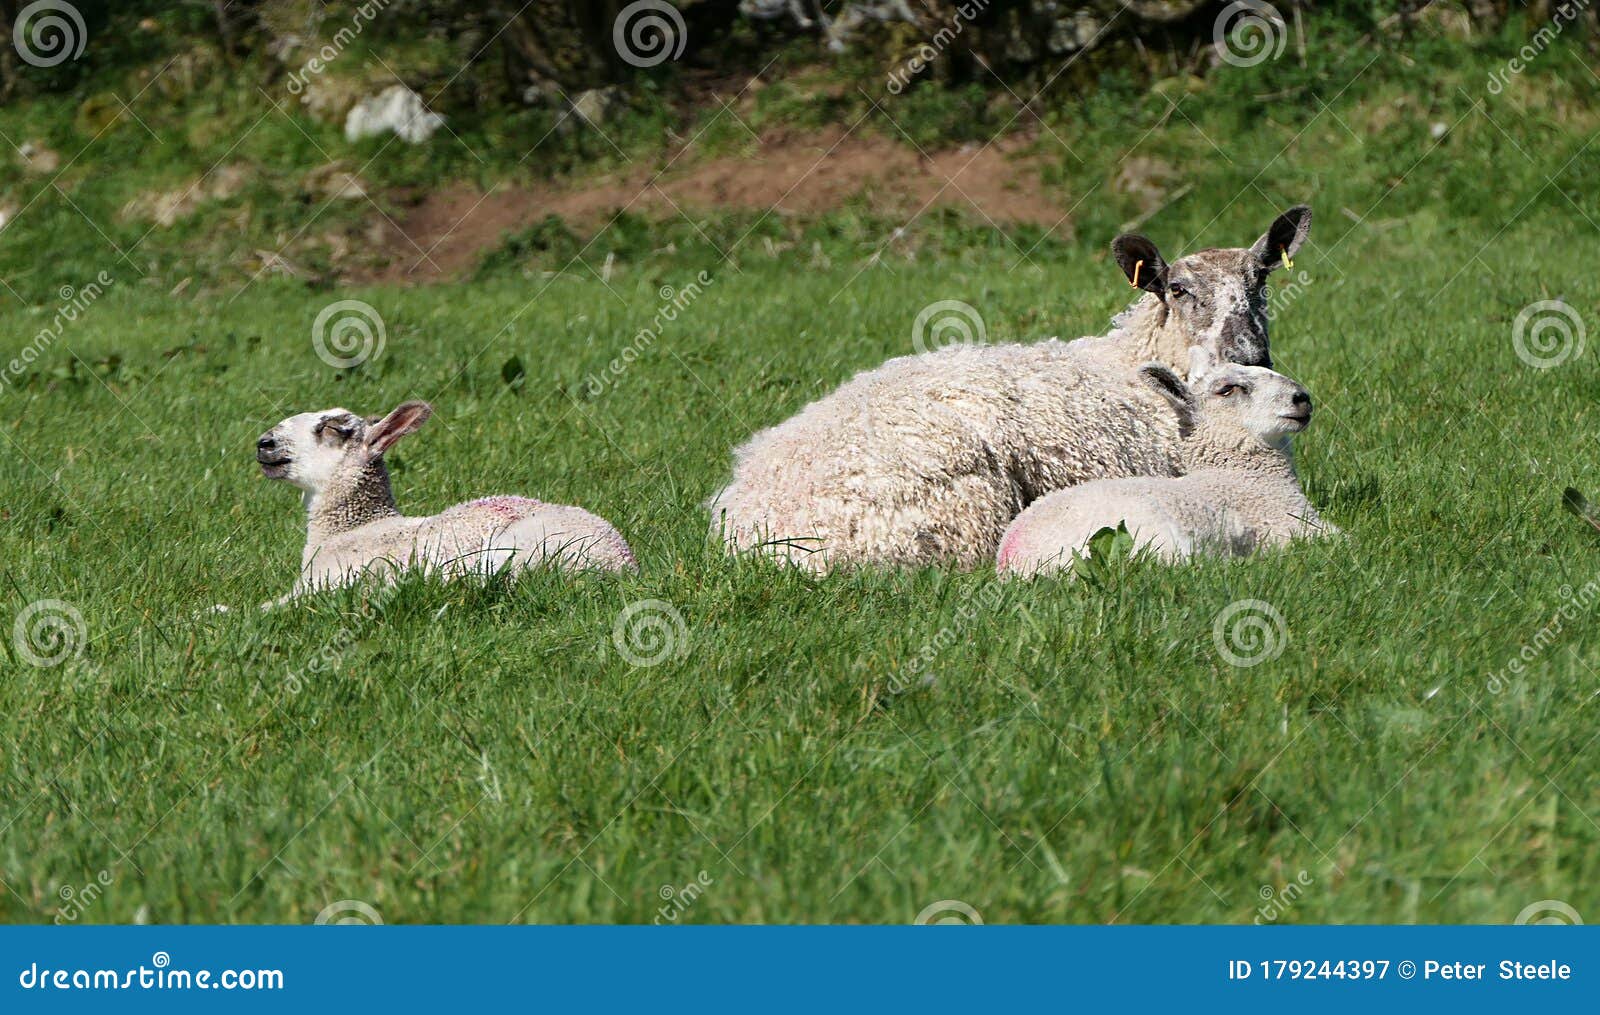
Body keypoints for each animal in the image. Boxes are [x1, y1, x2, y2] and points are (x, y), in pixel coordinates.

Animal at [249, 400, 636, 606]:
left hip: (521, 550)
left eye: (331, 429)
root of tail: (620, 563)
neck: (354, 528)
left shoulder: (321, 581)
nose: (264, 442)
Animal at [996, 347, 1335, 576]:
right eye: (1227, 389)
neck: (1240, 474)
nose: (1301, 398)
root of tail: (1014, 557)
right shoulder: (1294, 525)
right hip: (1149, 538)